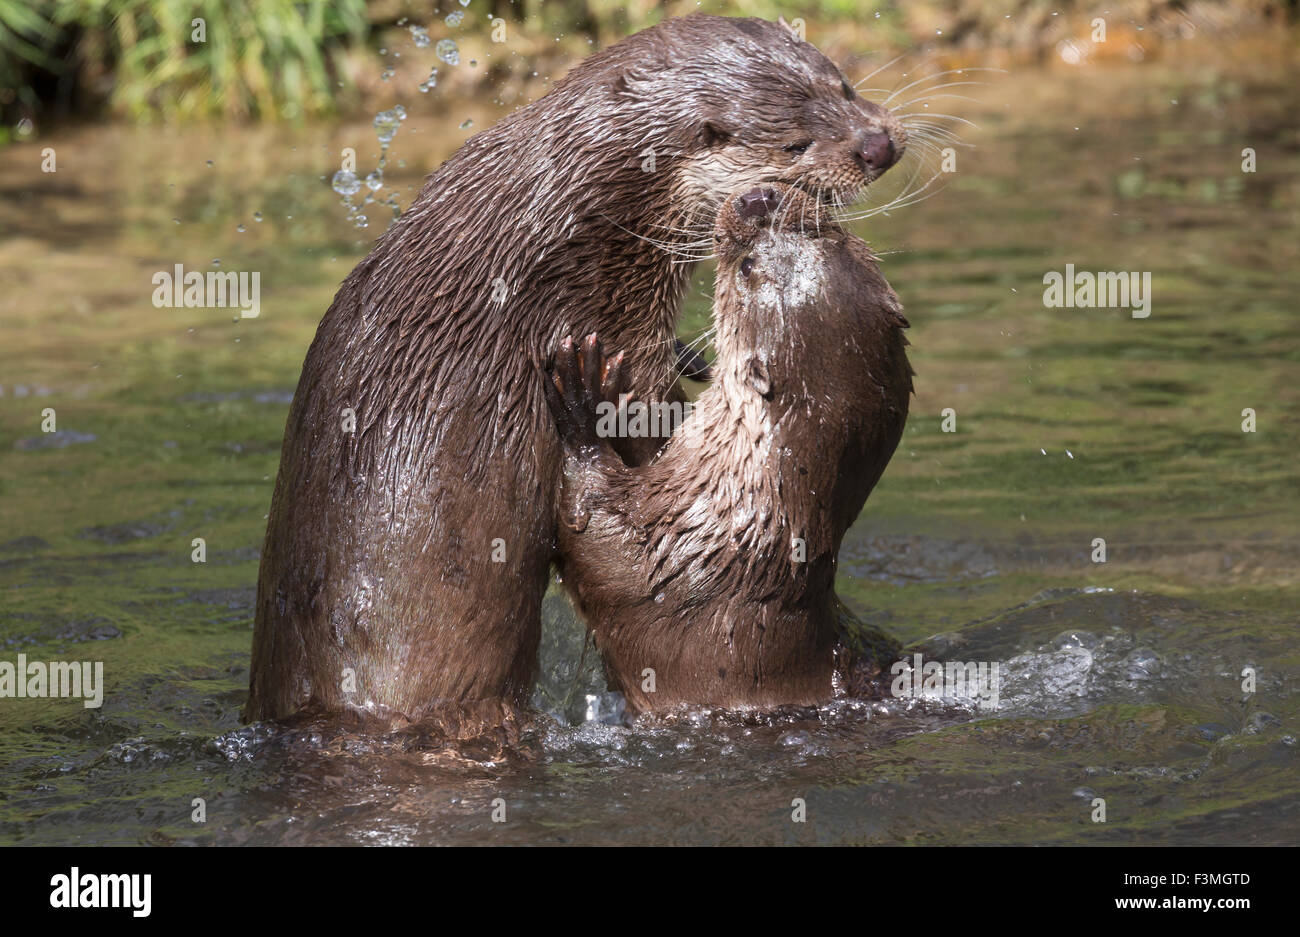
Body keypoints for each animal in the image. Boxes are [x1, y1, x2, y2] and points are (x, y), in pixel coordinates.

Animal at [542, 183, 912, 714]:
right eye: (826, 232)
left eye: (747, 267)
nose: (760, 196)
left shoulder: (665, 564)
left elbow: (590, 529)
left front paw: (585, 402)